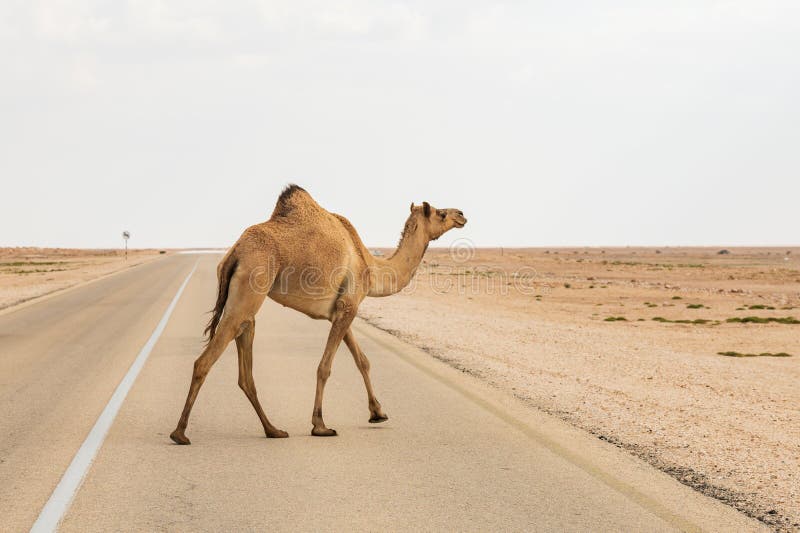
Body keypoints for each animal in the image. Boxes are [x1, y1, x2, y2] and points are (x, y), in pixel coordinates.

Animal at [170, 185, 467, 444]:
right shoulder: (349, 306)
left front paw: (378, 413)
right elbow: (325, 367)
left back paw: (273, 430)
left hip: (246, 305)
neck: (370, 266)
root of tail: (234, 253)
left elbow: (363, 360)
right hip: (249, 288)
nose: (462, 214)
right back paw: (180, 433)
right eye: (440, 213)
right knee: (204, 361)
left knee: (245, 371)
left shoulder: (340, 311)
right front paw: (320, 425)